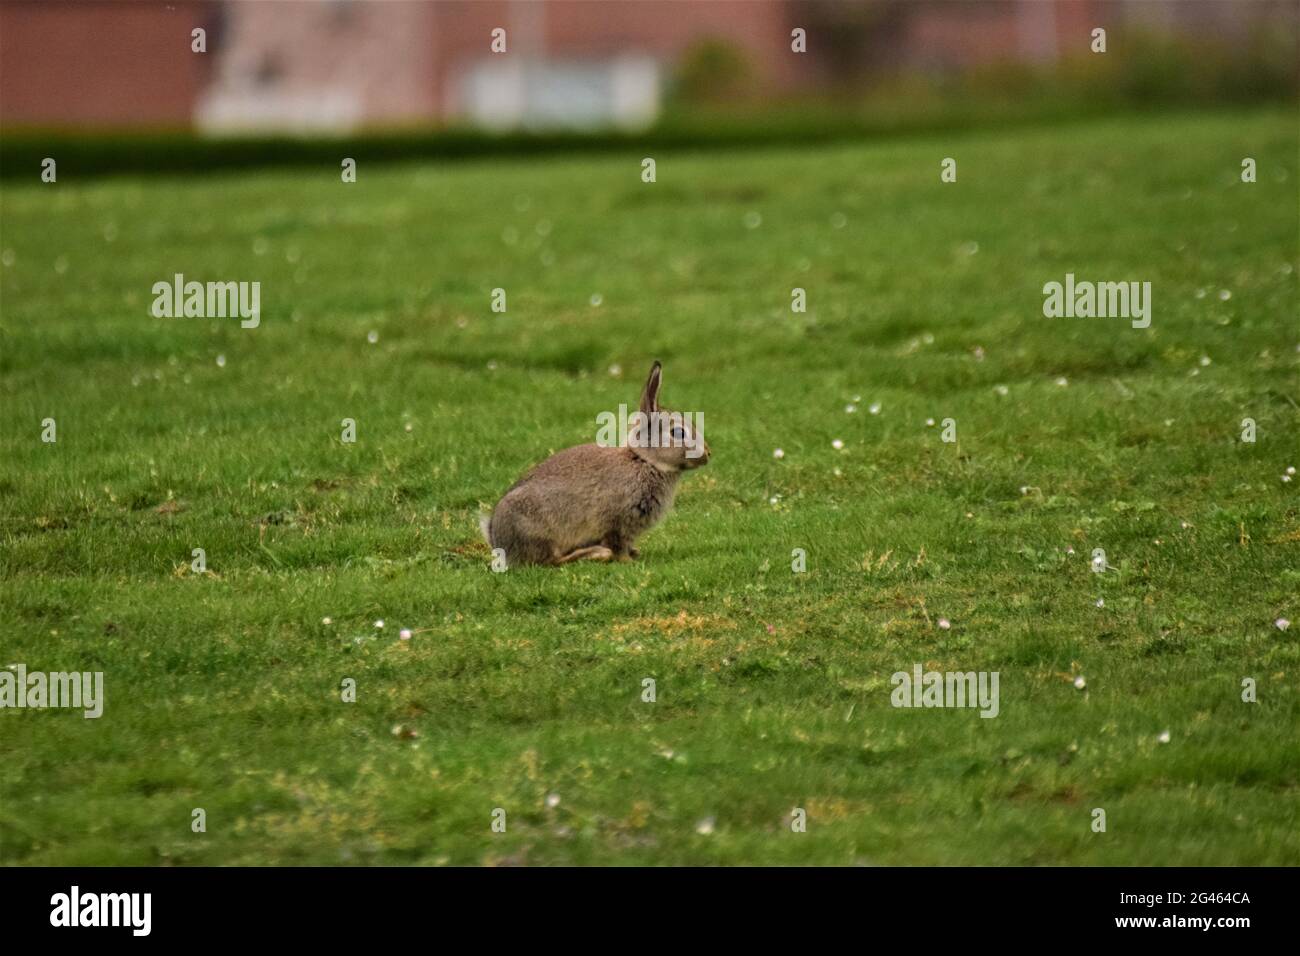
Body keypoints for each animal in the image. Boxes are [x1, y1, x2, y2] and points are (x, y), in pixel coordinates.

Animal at [481, 361, 710, 566]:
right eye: (678, 432)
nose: (708, 454)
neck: (645, 462)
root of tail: (495, 536)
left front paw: (634, 554)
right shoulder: (616, 522)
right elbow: (617, 543)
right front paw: (627, 560)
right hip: (540, 532)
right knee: (551, 560)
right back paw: (596, 553)